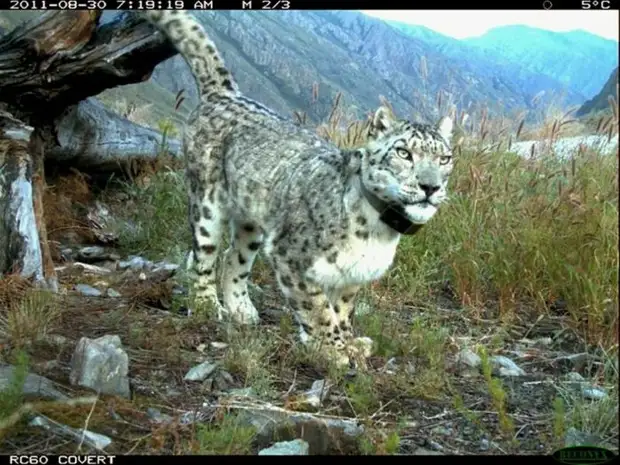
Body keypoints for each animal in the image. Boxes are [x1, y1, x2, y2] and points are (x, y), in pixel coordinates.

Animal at [144, 10, 456, 366]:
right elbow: (317, 308)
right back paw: (208, 305)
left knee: (233, 258)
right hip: (206, 203)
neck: (379, 232)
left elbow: (343, 310)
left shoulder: (350, 277)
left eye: (445, 157)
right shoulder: (291, 256)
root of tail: (225, 95)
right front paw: (333, 350)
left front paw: (350, 343)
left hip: (252, 223)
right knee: (203, 256)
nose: (430, 186)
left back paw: (242, 309)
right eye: (404, 153)